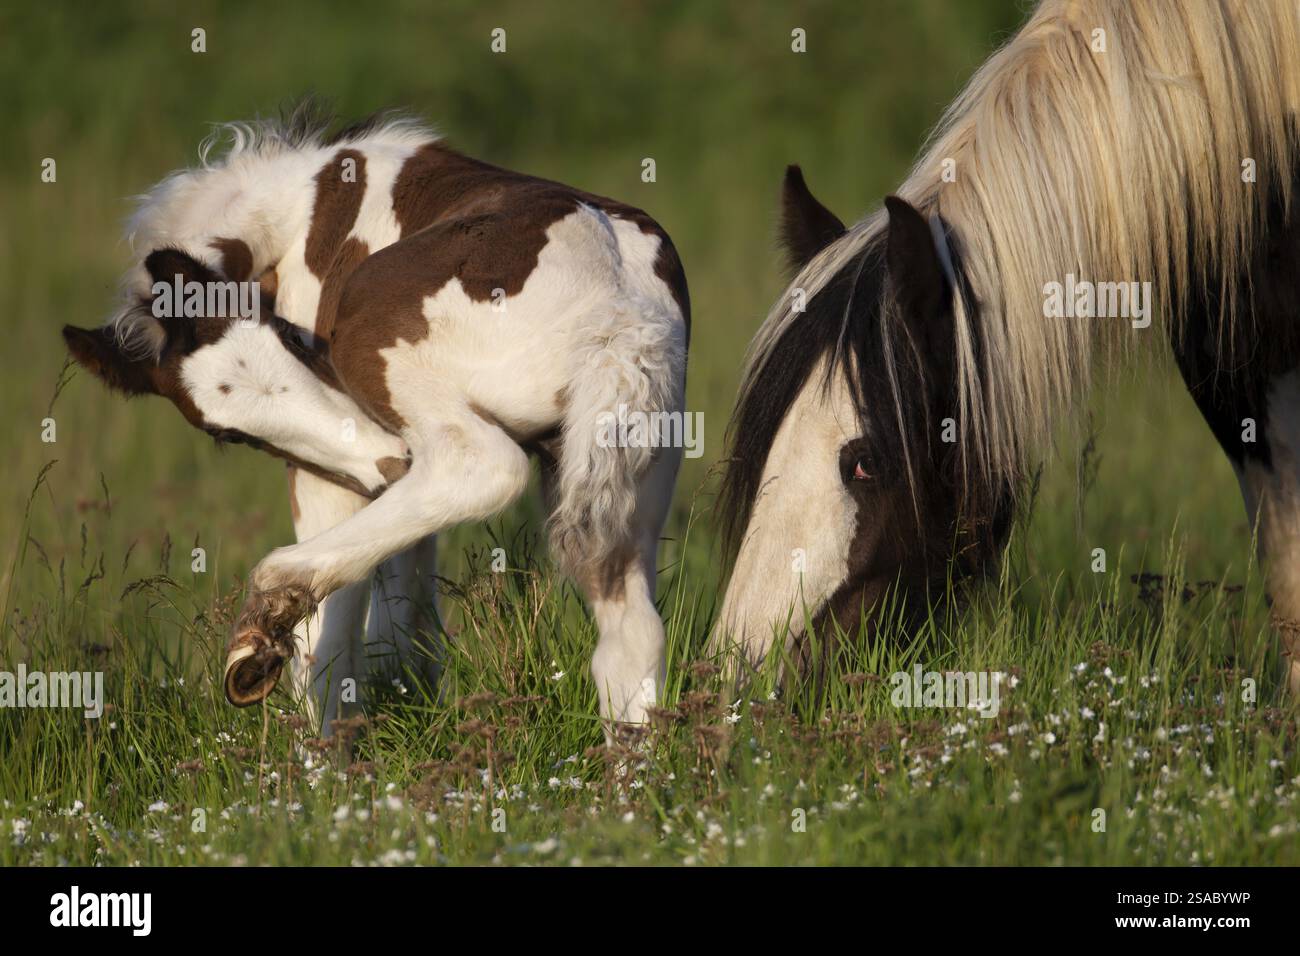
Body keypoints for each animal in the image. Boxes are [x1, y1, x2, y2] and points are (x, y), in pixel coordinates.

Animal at [63, 103, 690, 736]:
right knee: (631, 631)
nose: (392, 463)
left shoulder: (327, 475)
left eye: (289, 334)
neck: (293, 214)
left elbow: (331, 648)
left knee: (484, 469)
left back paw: (268, 608)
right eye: (225, 434)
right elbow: (404, 615)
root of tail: (614, 305)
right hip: (622, 469)